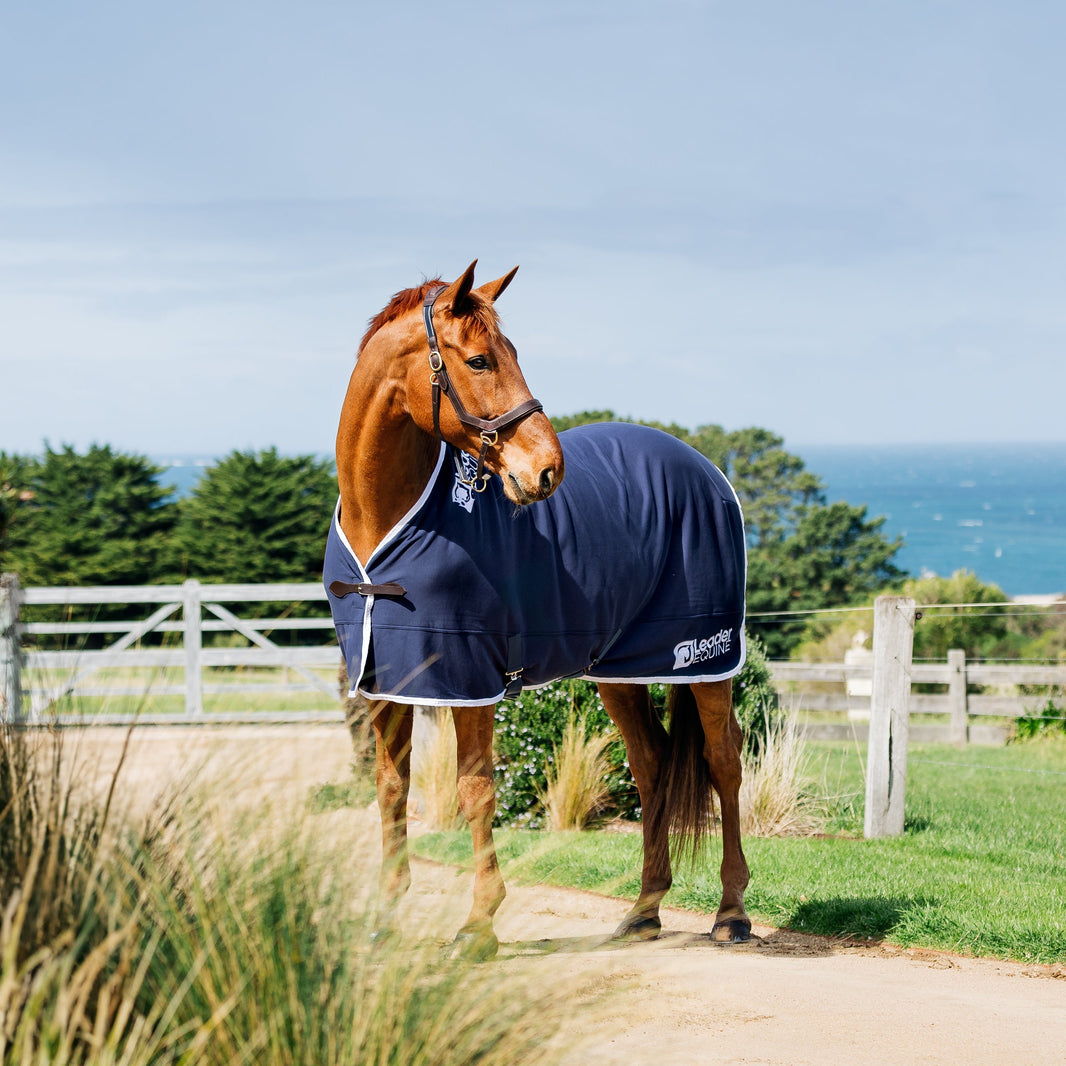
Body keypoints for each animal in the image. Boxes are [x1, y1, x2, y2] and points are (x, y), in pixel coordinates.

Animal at [326, 260, 751, 960]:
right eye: (477, 360)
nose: (548, 470)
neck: (387, 518)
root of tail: (705, 472)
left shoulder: (469, 679)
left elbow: (475, 790)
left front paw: (478, 926)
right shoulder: (387, 681)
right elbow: (391, 792)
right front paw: (384, 919)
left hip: (702, 661)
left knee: (724, 763)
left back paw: (732, 911)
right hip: (619, 670)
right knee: (652, 765)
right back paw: (643, 909)